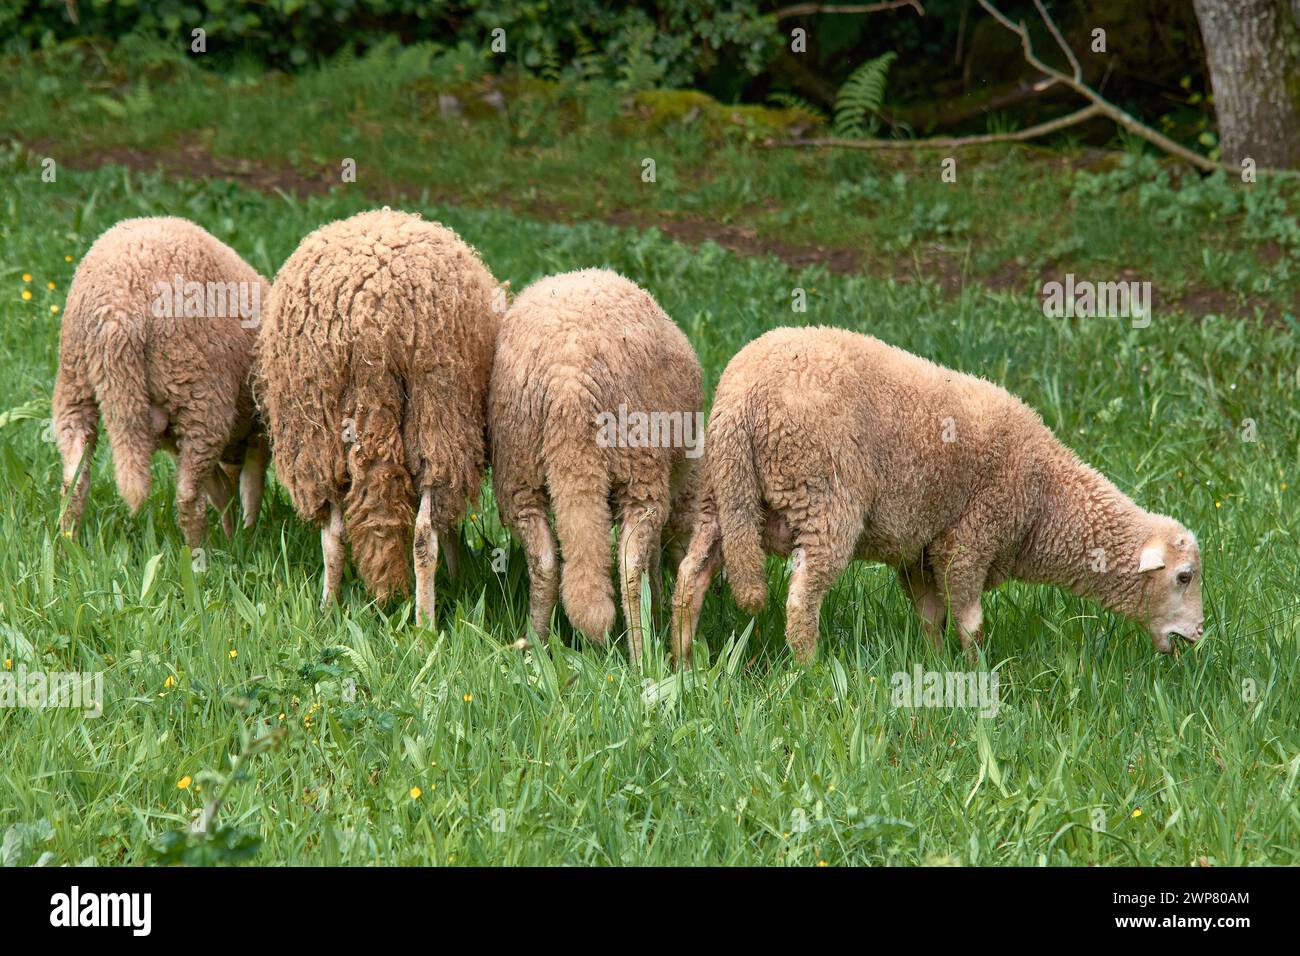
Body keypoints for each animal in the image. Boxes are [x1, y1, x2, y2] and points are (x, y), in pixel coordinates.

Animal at [53, 216, 270, 548]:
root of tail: (117, 310)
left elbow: (223, 488)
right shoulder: (258, 432)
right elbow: (250, 487)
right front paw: (244, 534)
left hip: (74, 386)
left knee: (74, 480)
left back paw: (69, 546)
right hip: (200, 396)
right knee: (188, 497)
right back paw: (201, 554)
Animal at [255, 209, 500, 622]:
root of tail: (373, 316)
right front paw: (458, 574)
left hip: (322, 434)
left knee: (338, 532)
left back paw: (335, 609)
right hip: (437, 413)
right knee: (420, 533)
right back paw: (420, 622)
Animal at [489, 269, 703, 662]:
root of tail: (569, 378)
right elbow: (650, 560)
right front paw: (659, 606)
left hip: (519, 469)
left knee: (544, 560)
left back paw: (535, 647)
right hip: (640, 467)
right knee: (629, 565)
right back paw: (642, 657)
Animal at [671, 326, 1204, 665]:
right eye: (1184, 577)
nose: (1199, 634)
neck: (1045, 500)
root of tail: (741, 396)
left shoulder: (920, 548)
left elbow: (930, 615)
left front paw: (931, 660)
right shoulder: (970, 540)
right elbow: (971, 621)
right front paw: (976, 673)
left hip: (723, 497)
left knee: (690, 576)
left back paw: (683, 660)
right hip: (823, 499)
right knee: (802, 599)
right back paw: (810, 670)